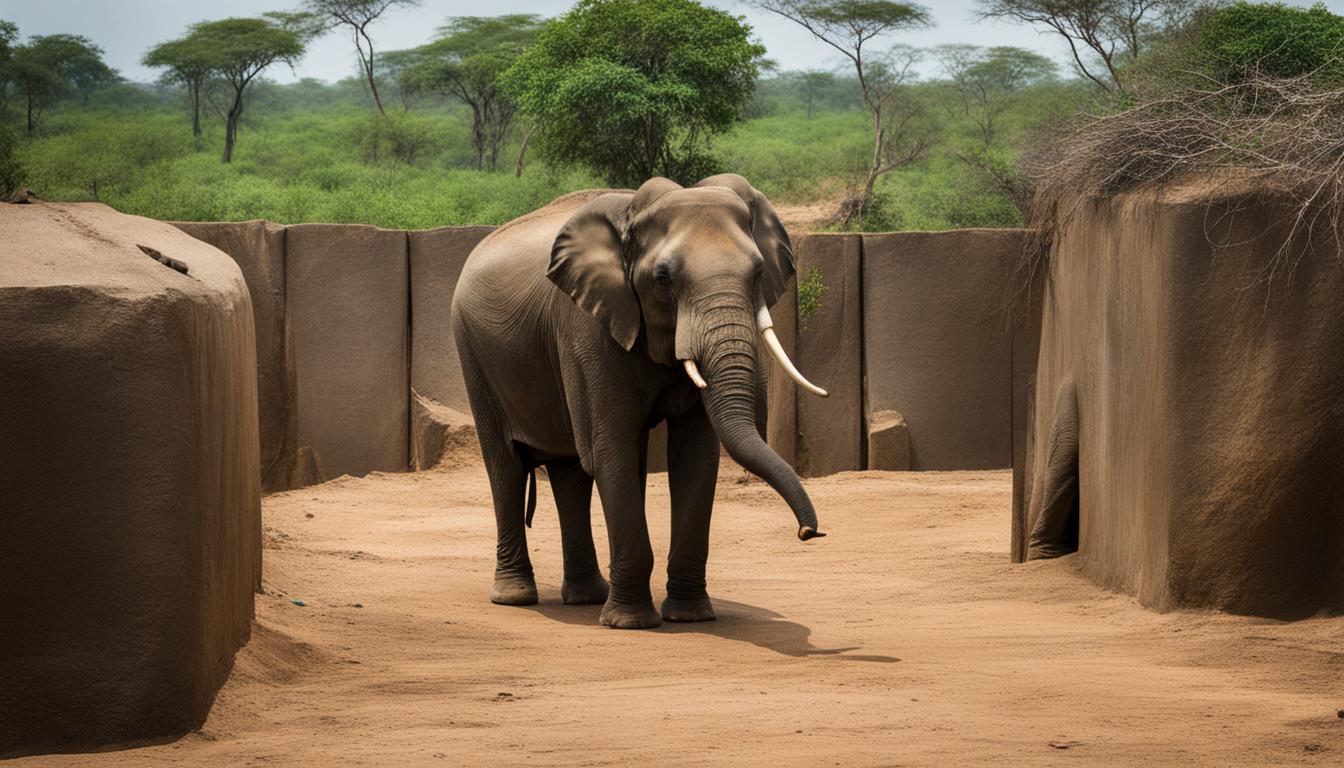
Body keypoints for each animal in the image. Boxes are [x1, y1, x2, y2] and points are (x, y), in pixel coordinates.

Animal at [450, 174, 828, 629]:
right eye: (663, 278)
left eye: (757, 273)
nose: (809, 533)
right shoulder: (589, 329)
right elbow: (614, 453)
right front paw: (630, 623)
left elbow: (695, 456)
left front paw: (691, 617)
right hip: (472, 349)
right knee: (506, 467)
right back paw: (516, 597)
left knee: (570, 471)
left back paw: (587, 597)